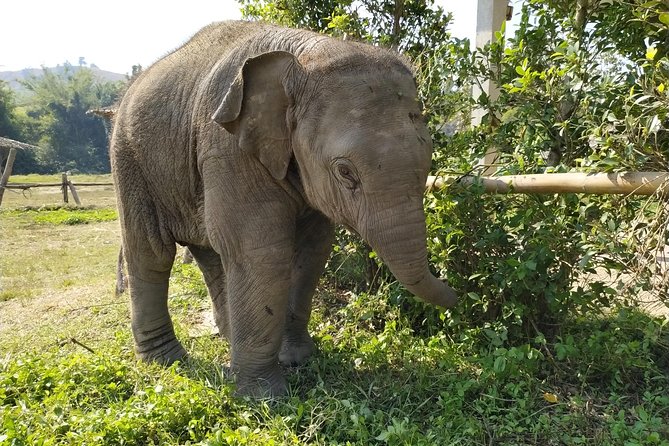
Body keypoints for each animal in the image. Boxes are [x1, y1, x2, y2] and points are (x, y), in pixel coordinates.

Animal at [110, 20, 458, 397]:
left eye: (427, 162)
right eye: (345, 172)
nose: (463, 295)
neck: (305, 55)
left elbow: (312, 249)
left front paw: (296, 358)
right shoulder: (229, 147)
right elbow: (260, 250)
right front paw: (265, 395)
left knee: (211, 253)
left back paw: (228, 340)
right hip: (130, 161)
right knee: (151, 253)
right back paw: (167, 361)